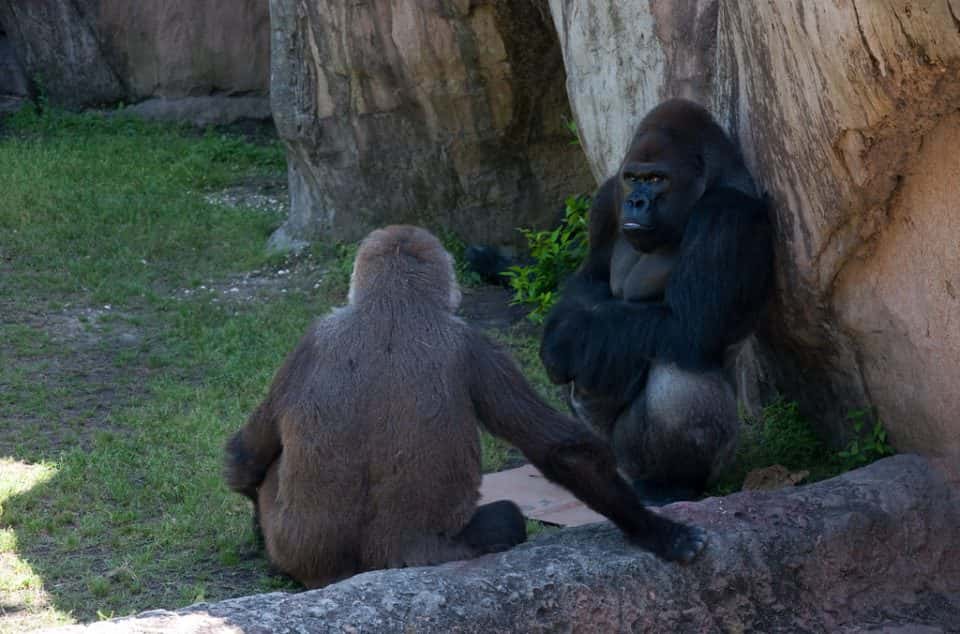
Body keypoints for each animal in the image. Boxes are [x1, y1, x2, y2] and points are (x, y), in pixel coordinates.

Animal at [225, 225, 707, 588]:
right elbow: (248, 454)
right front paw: (656, 529)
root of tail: (376, 563)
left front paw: (655, 531)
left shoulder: (312, 341)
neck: (394, 306)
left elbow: (248, 455)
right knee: (510, 518)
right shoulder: (474, 347)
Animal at [540, 98, 774, 505]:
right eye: (634, 178)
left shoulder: (726, 215)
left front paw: (567, 339)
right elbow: (588, 284)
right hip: (614, 452)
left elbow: (689, 325)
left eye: (656, 180)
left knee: (676, 376)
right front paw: (561, 334)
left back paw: (672, 484)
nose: (636, 201)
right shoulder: (607, 199)